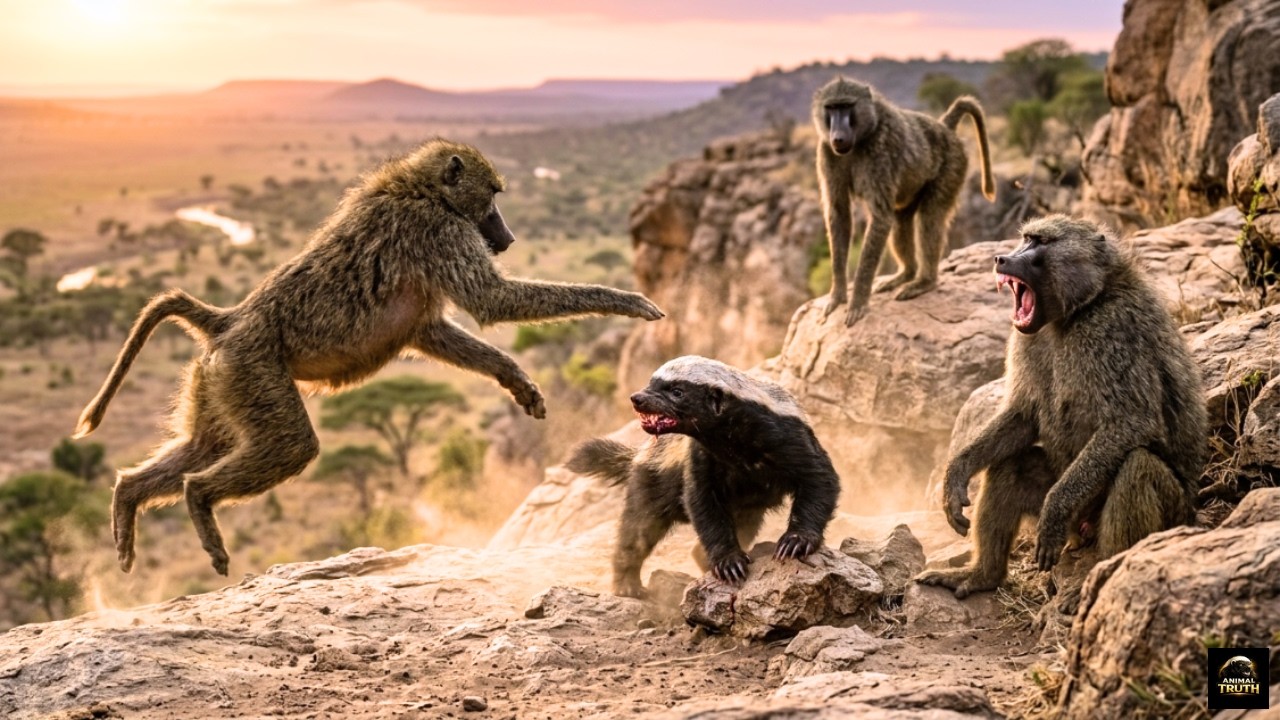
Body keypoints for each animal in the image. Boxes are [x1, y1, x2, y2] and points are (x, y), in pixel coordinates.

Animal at [75, 139, 665, 576]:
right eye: (493, 196)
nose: (509, 235)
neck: (419, 189)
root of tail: (229, 318)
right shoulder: (441, 232)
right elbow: (493, 302)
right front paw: (625, 300)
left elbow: (432, 331)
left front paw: (517, 381)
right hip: (252, 368)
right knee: (283, 448)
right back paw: (200, 502)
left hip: (219, 377)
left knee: (203, 445)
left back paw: (127, 502)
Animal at [565, 356, 840, 598]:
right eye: (652, 383)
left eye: (677, 392)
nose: (638, 398)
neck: (732, 442)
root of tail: (638, 454)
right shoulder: (699, 457)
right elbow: (702, 501)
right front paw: (729, 563)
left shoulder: (790, 436)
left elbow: (819, 478)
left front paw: (796, 541)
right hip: (651, 481)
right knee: (638, 531)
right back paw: (628, 586)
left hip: (744, 507)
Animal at [813, 76, 995, 326]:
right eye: (831, 108)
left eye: (847, 106)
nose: (838, 137)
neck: (861, 138)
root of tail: (944, 128)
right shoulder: (827, 152)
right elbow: (839, 213)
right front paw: (838, 296)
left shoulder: (880, 152)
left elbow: (880, 217)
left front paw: (857, 303)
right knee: (901, 221)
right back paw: (905, 274)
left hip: (953, 167)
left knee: (929, 219)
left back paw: (924, 282)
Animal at [916, 215, 1207, 600]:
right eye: (1025, 238)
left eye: (1040, 242)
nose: (1002, 258)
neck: (1079, 310)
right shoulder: (1026, 338)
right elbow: (1023, 417)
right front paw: (957, 474)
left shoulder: (1114, 328)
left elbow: (1131, 422)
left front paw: (1054, 511)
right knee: (1011, 466)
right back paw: (981, 575)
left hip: (1169, 513)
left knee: (1137, 467)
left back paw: (1101, 575)